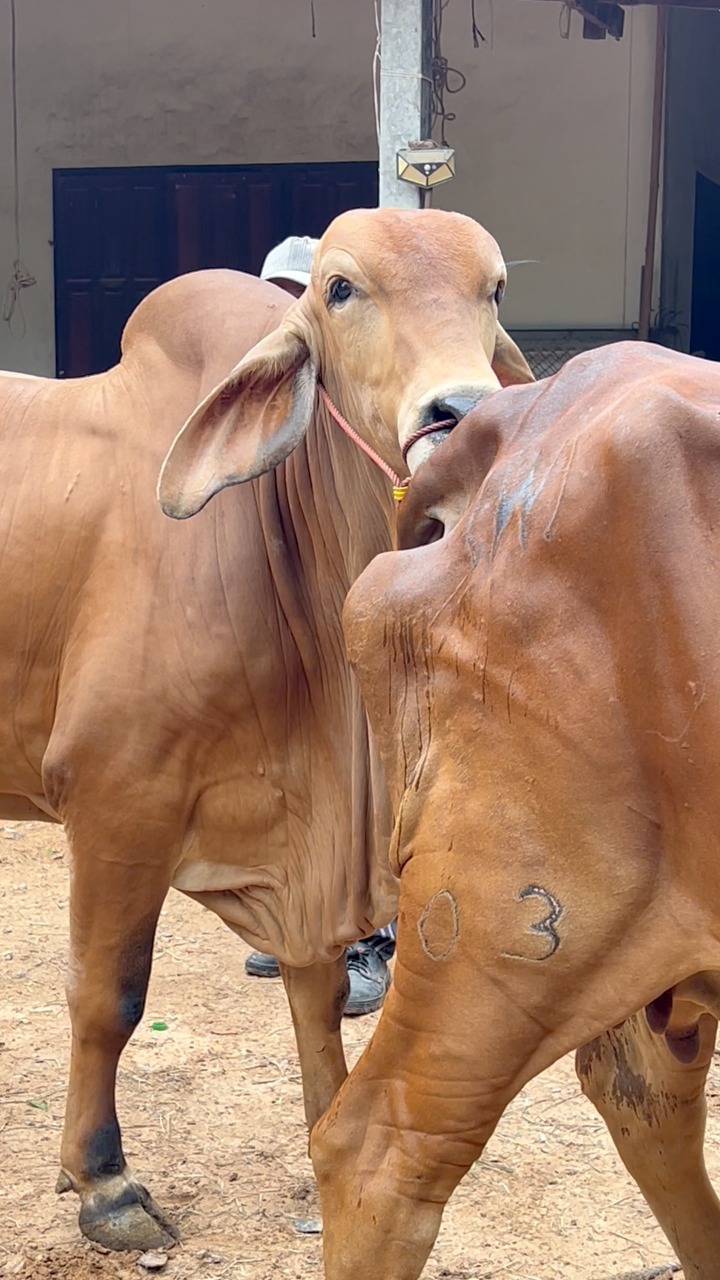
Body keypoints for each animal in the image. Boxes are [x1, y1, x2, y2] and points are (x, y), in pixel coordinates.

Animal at [0, 207, 533, 1252]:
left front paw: (329, 1146)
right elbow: (108, 994)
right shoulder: (119, 798)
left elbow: (316, 992)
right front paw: (103, 1182)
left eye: (493, 288)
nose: (462, 414)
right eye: (340, 287)